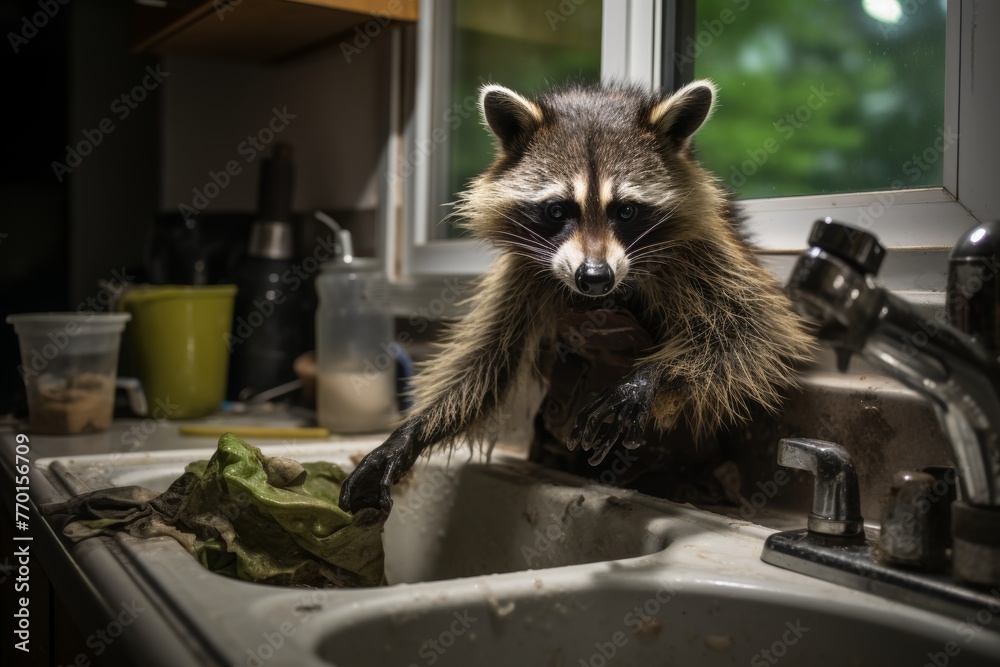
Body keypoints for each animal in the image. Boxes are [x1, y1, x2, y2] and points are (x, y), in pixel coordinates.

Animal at [339, 80, 814, 514]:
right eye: (556, 210)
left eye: (626, 210)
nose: (595, 278)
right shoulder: (524, 270)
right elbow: (488, 364)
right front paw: (410, 434)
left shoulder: (696, 247)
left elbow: (753, 330)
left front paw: (649, 378)